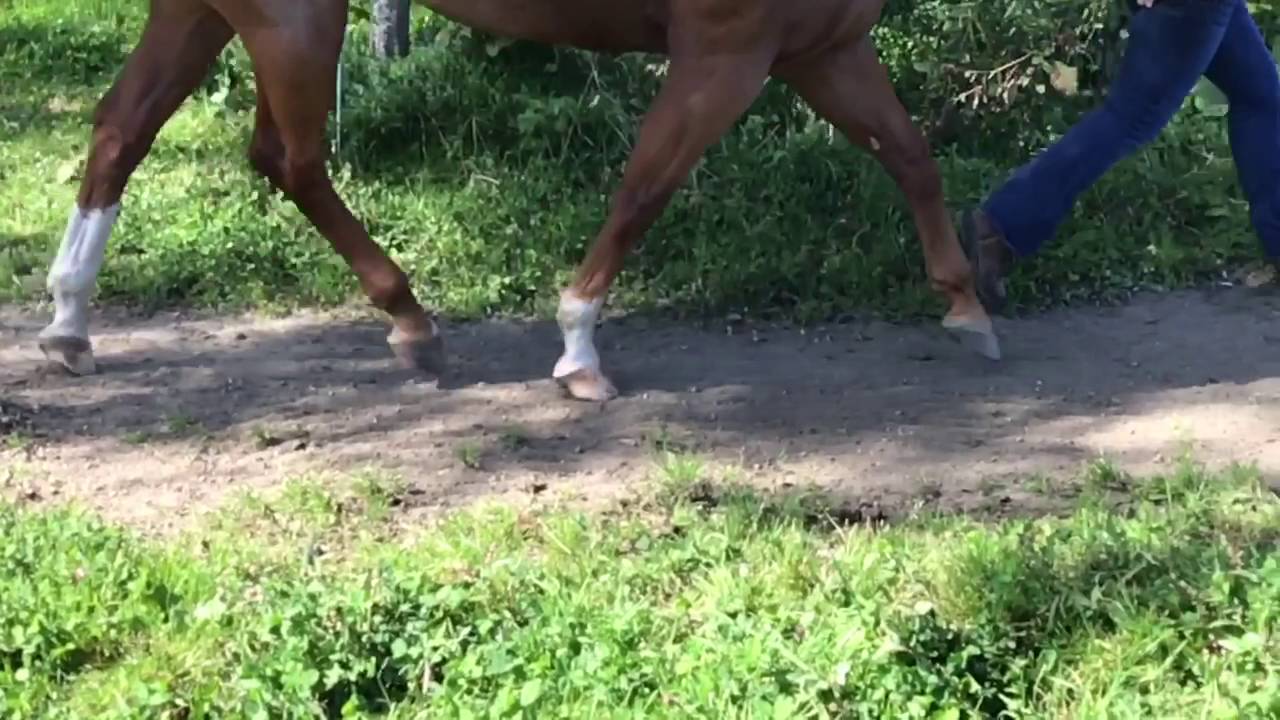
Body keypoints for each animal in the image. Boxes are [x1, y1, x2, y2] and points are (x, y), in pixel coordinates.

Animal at [38, 0, 1000, 402]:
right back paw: (411, 321)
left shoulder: (823, 48)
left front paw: (967, 307)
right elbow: (643, 190)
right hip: (292, 20)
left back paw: (70, 324)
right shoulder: (725, 56)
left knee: (123, 130)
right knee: (290, 159)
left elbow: (911, 157)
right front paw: (579, 350)